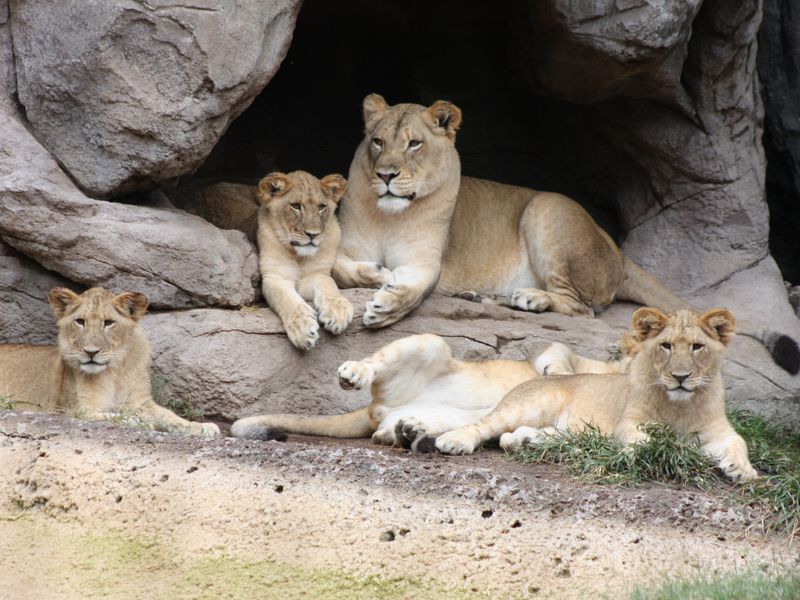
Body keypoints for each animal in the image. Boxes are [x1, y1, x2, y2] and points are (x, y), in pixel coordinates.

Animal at [0, 287, 220, 436]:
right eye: (80, 322)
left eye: (108, 323)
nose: (91, 352)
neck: (113, 372)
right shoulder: (76, 410)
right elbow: (111, 416)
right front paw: (137, 421)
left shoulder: (142, 401)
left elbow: (169, 415)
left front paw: (201, 426)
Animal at [230, 333, 627, 450]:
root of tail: (379, 406)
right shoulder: (554, 350)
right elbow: (560, 360)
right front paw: (559, 375)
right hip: (430, 344)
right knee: (376, 365)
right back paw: (353, 374)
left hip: (447, 416)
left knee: (384, 431)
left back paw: (409, 433)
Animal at [257, 170, 353, 350]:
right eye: (296, 206)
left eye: (321, 207)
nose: (313, 234)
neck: (298, 256)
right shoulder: (274, 277)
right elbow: (286, 299)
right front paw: (303, 328)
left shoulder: (317, 273)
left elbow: (329, 285)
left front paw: (338, 313)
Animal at [332, 93, 799, 375]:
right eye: (377, 142)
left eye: (414, 144)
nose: (386, 175)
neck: (390, 216)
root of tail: (618, 252)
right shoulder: (341, 244)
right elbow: (343, 268)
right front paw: (376, 277)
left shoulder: (426, 262)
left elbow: (411, 290)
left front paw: (385, 306)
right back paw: (486, 298)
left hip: (546, 208)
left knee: (582, 308)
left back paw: (530, 298)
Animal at [434, 307, 757, 483]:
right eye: (666, 346)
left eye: (697, 347)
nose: (680, 377)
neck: (682, 406)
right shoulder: (629, 422)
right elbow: (642, 440)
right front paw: (650, 451)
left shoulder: (719, 430)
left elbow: (739, 443)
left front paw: (742, 470)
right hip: (532, 403)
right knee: (487, 427)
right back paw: (455, 441)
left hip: (566, 428)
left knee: (514, 437)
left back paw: (527, 441)